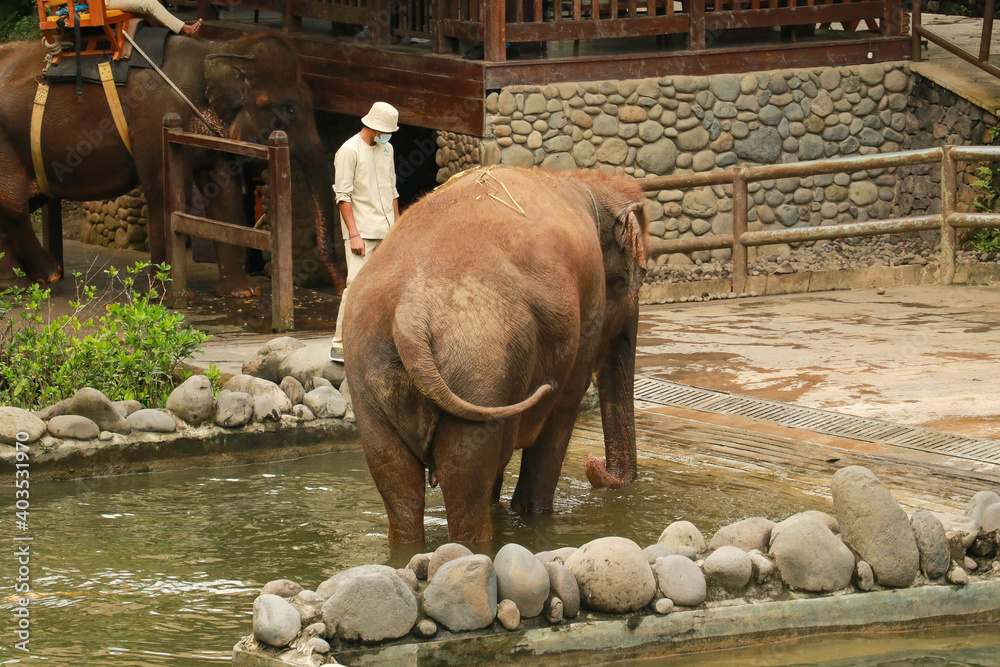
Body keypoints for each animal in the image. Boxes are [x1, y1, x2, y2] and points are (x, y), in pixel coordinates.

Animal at [0, 32, 344, 296]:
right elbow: (163, 190)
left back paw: (16, 283)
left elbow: (225, 193)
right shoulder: (157, 120)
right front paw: (167, 292)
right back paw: (45, 275)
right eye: (289, 110)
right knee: (13, 204)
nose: (341, 290)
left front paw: (242, 292)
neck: (217, 49)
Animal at [343, 166, 649, 545]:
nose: (595, 464)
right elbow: (562, 410)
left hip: (370, 375)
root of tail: (409, 315)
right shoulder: (586, 313)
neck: (585, 182)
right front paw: (533, 514)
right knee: (465, 475)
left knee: (395, 478)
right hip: (482, 368)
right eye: (634, 278)